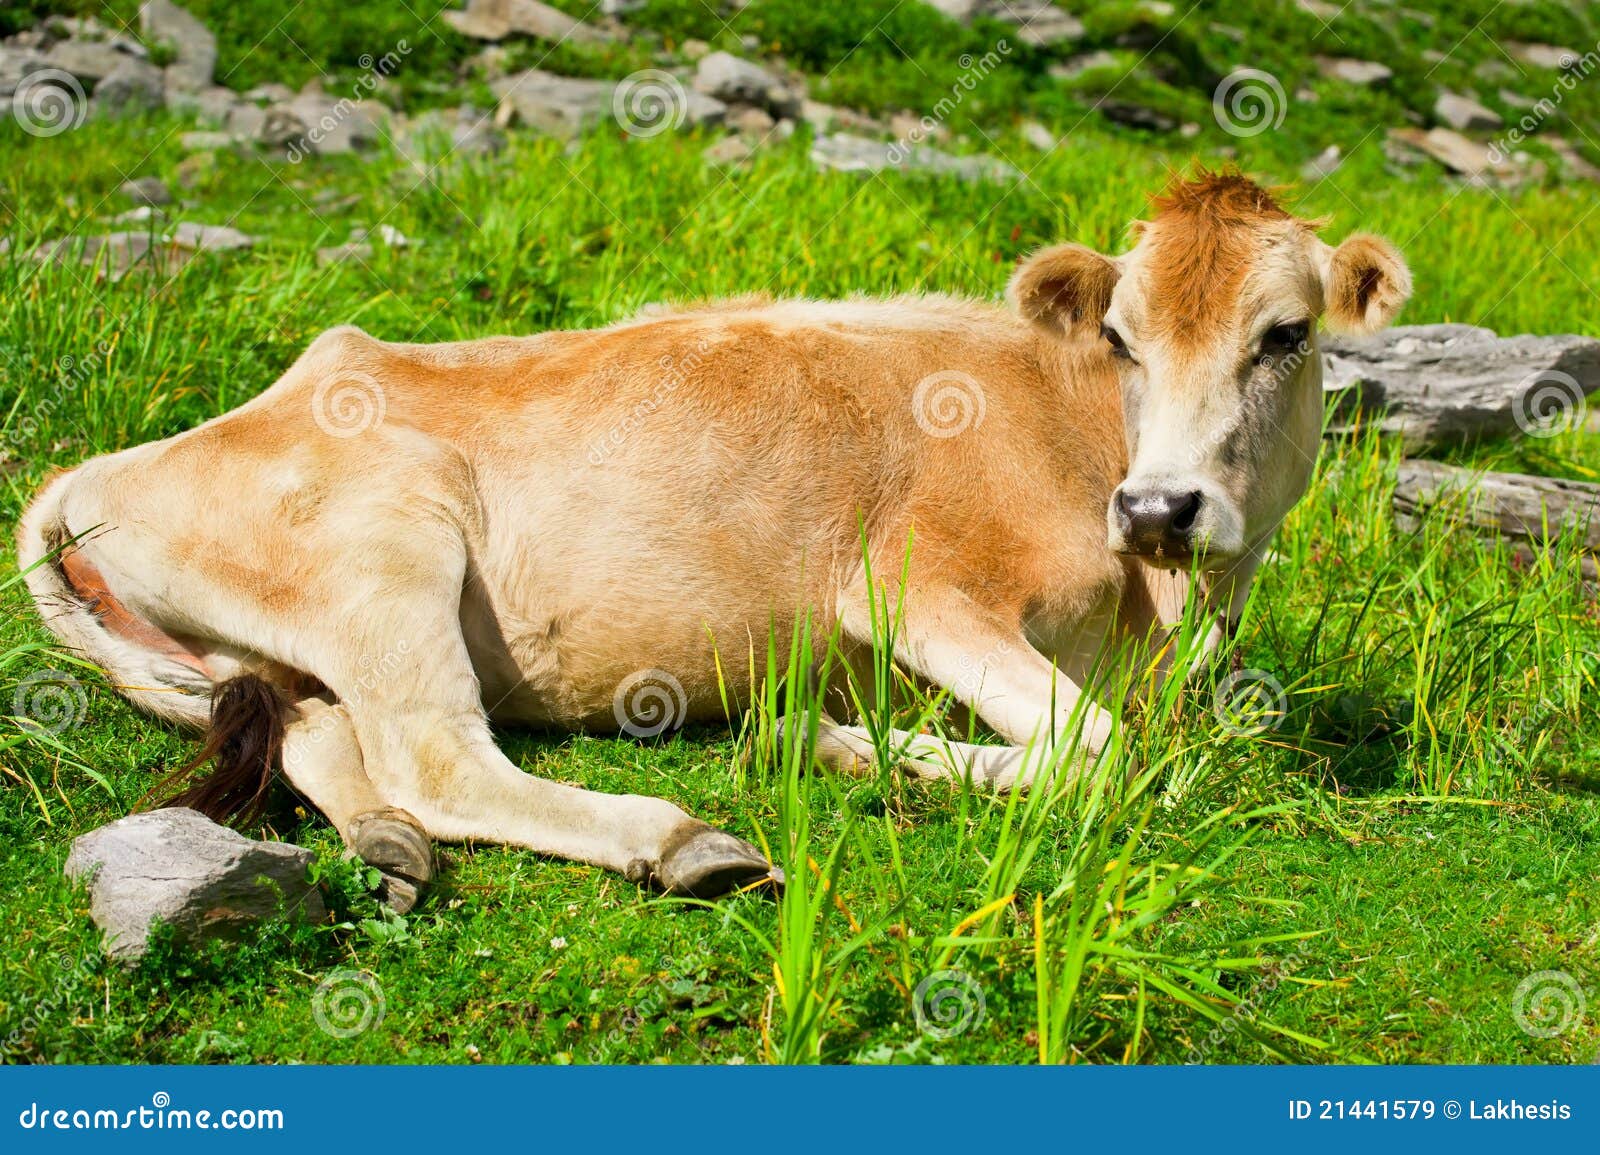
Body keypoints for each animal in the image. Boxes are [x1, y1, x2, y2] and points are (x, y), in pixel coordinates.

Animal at [18, 171, 1410, 908]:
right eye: (1119, 335)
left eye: (1285, 335)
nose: (1159, 509)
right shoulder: (917, 589)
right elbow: (1102, 754)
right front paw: (829, 742)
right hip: (389, 545)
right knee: (437, 757)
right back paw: (677, 839)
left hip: (258, 649)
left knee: (320, 738)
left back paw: (387, 850)